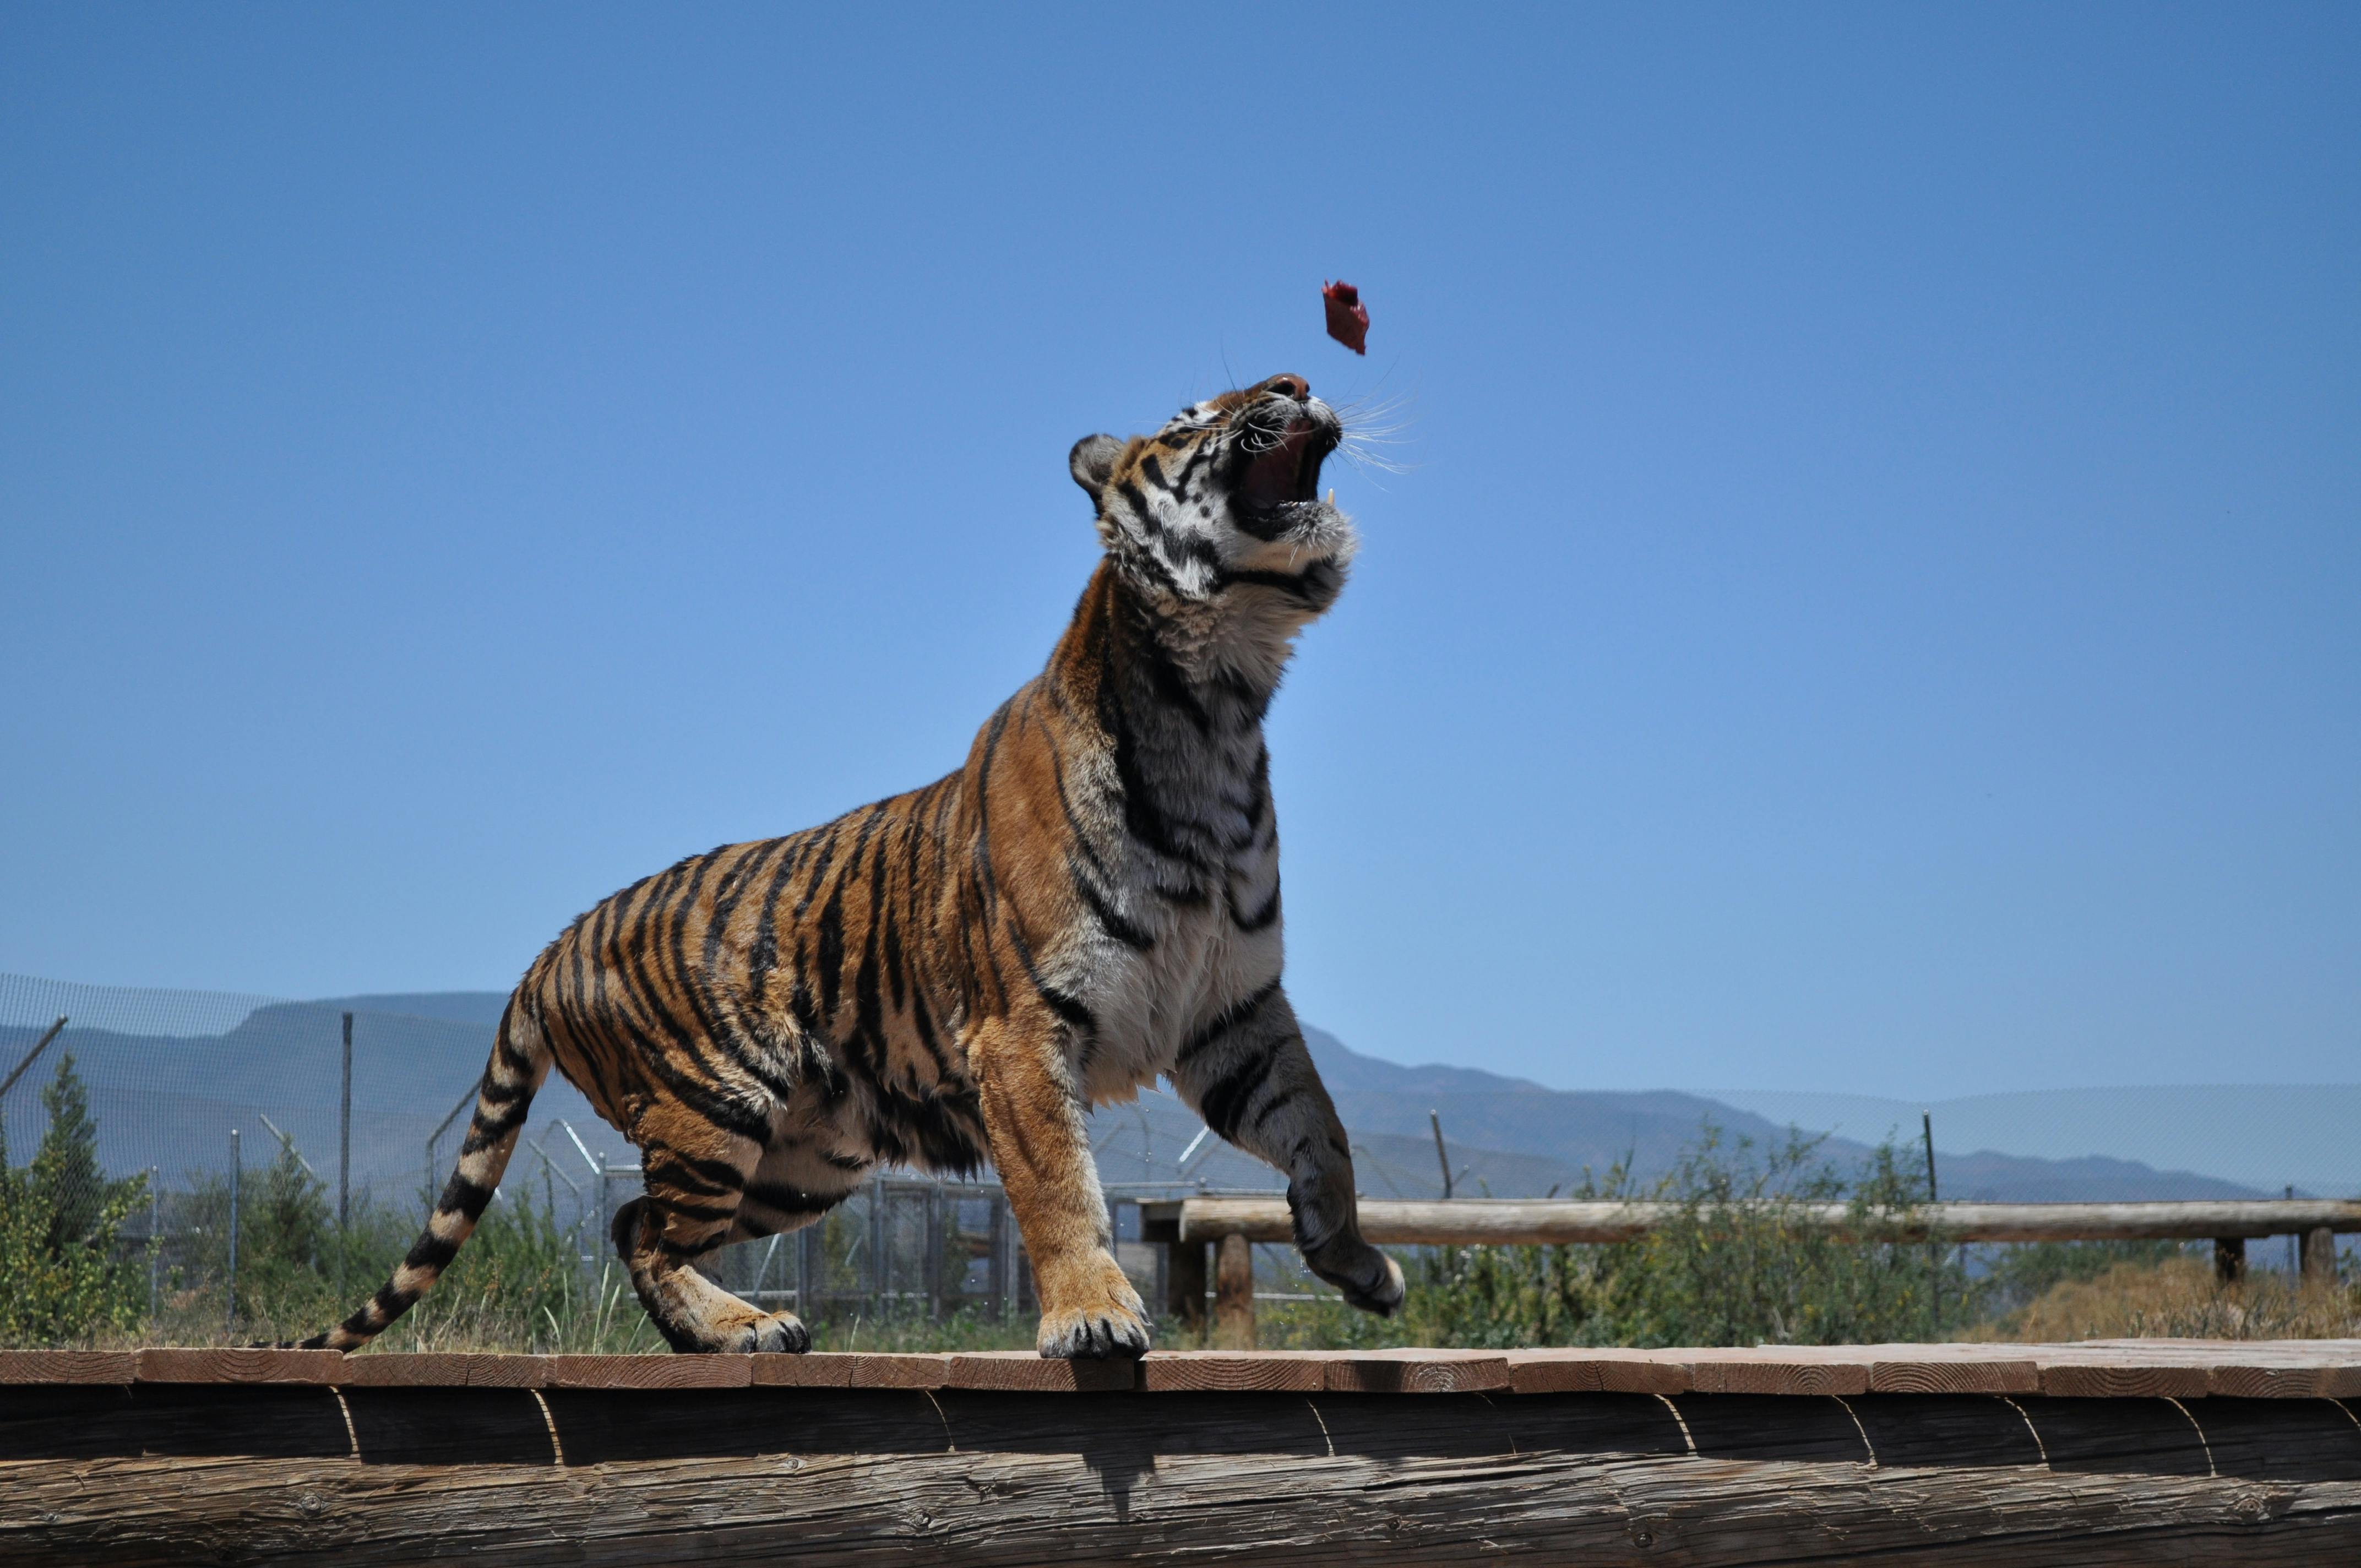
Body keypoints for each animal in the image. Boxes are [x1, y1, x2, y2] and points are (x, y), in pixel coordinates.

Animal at [306, 371, 1404, 1359]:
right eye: (1188, 416)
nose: (1296, 379)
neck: (1220, 701)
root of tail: (549, 948)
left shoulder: (1231, 1009)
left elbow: (1321, 1129)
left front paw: (1354, 1259)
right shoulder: (1021, 1026)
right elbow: (1060, 1184)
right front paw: (1091, 1316)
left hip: (805, 1161)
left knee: (632, 1225)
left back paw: (727, 1331)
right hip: (718, 1106)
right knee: (647, 1229)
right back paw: (743, 1325)